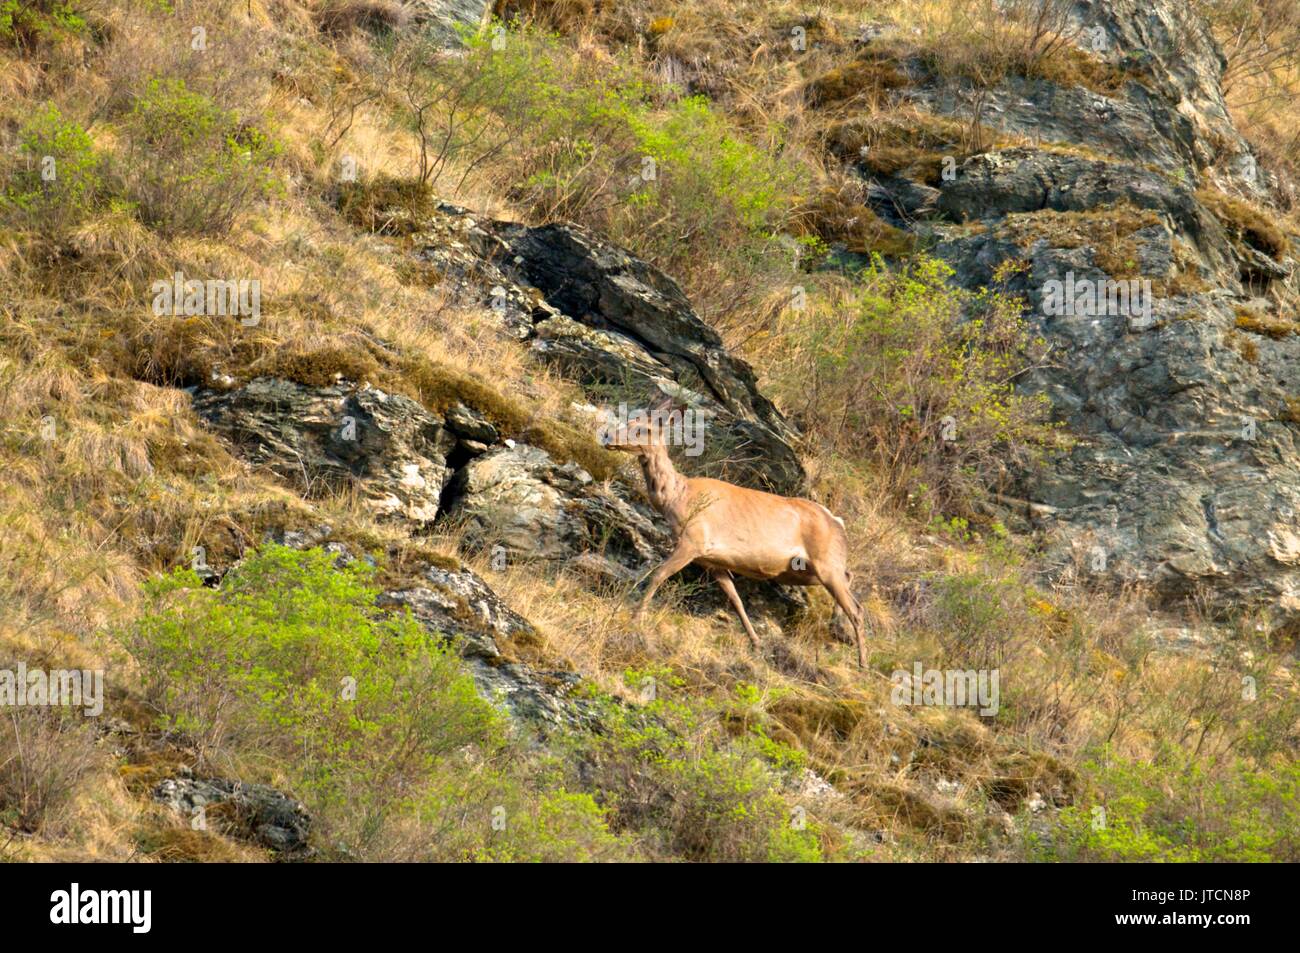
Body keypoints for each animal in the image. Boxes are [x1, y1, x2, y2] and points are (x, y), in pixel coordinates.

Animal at [600, 397, 867, 668]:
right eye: (628, 420)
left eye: (644, 428)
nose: (607, 435)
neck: (678, 500)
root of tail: (838, 521)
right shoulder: (712, 560)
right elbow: (735, 599)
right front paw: (756, 641)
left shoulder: (693, 540)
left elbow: (658, 574)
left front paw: (635, 618)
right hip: (805, 570)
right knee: (849, 578)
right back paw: (839, 629)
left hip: (824, 561)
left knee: (856, 608)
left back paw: (862, 661)